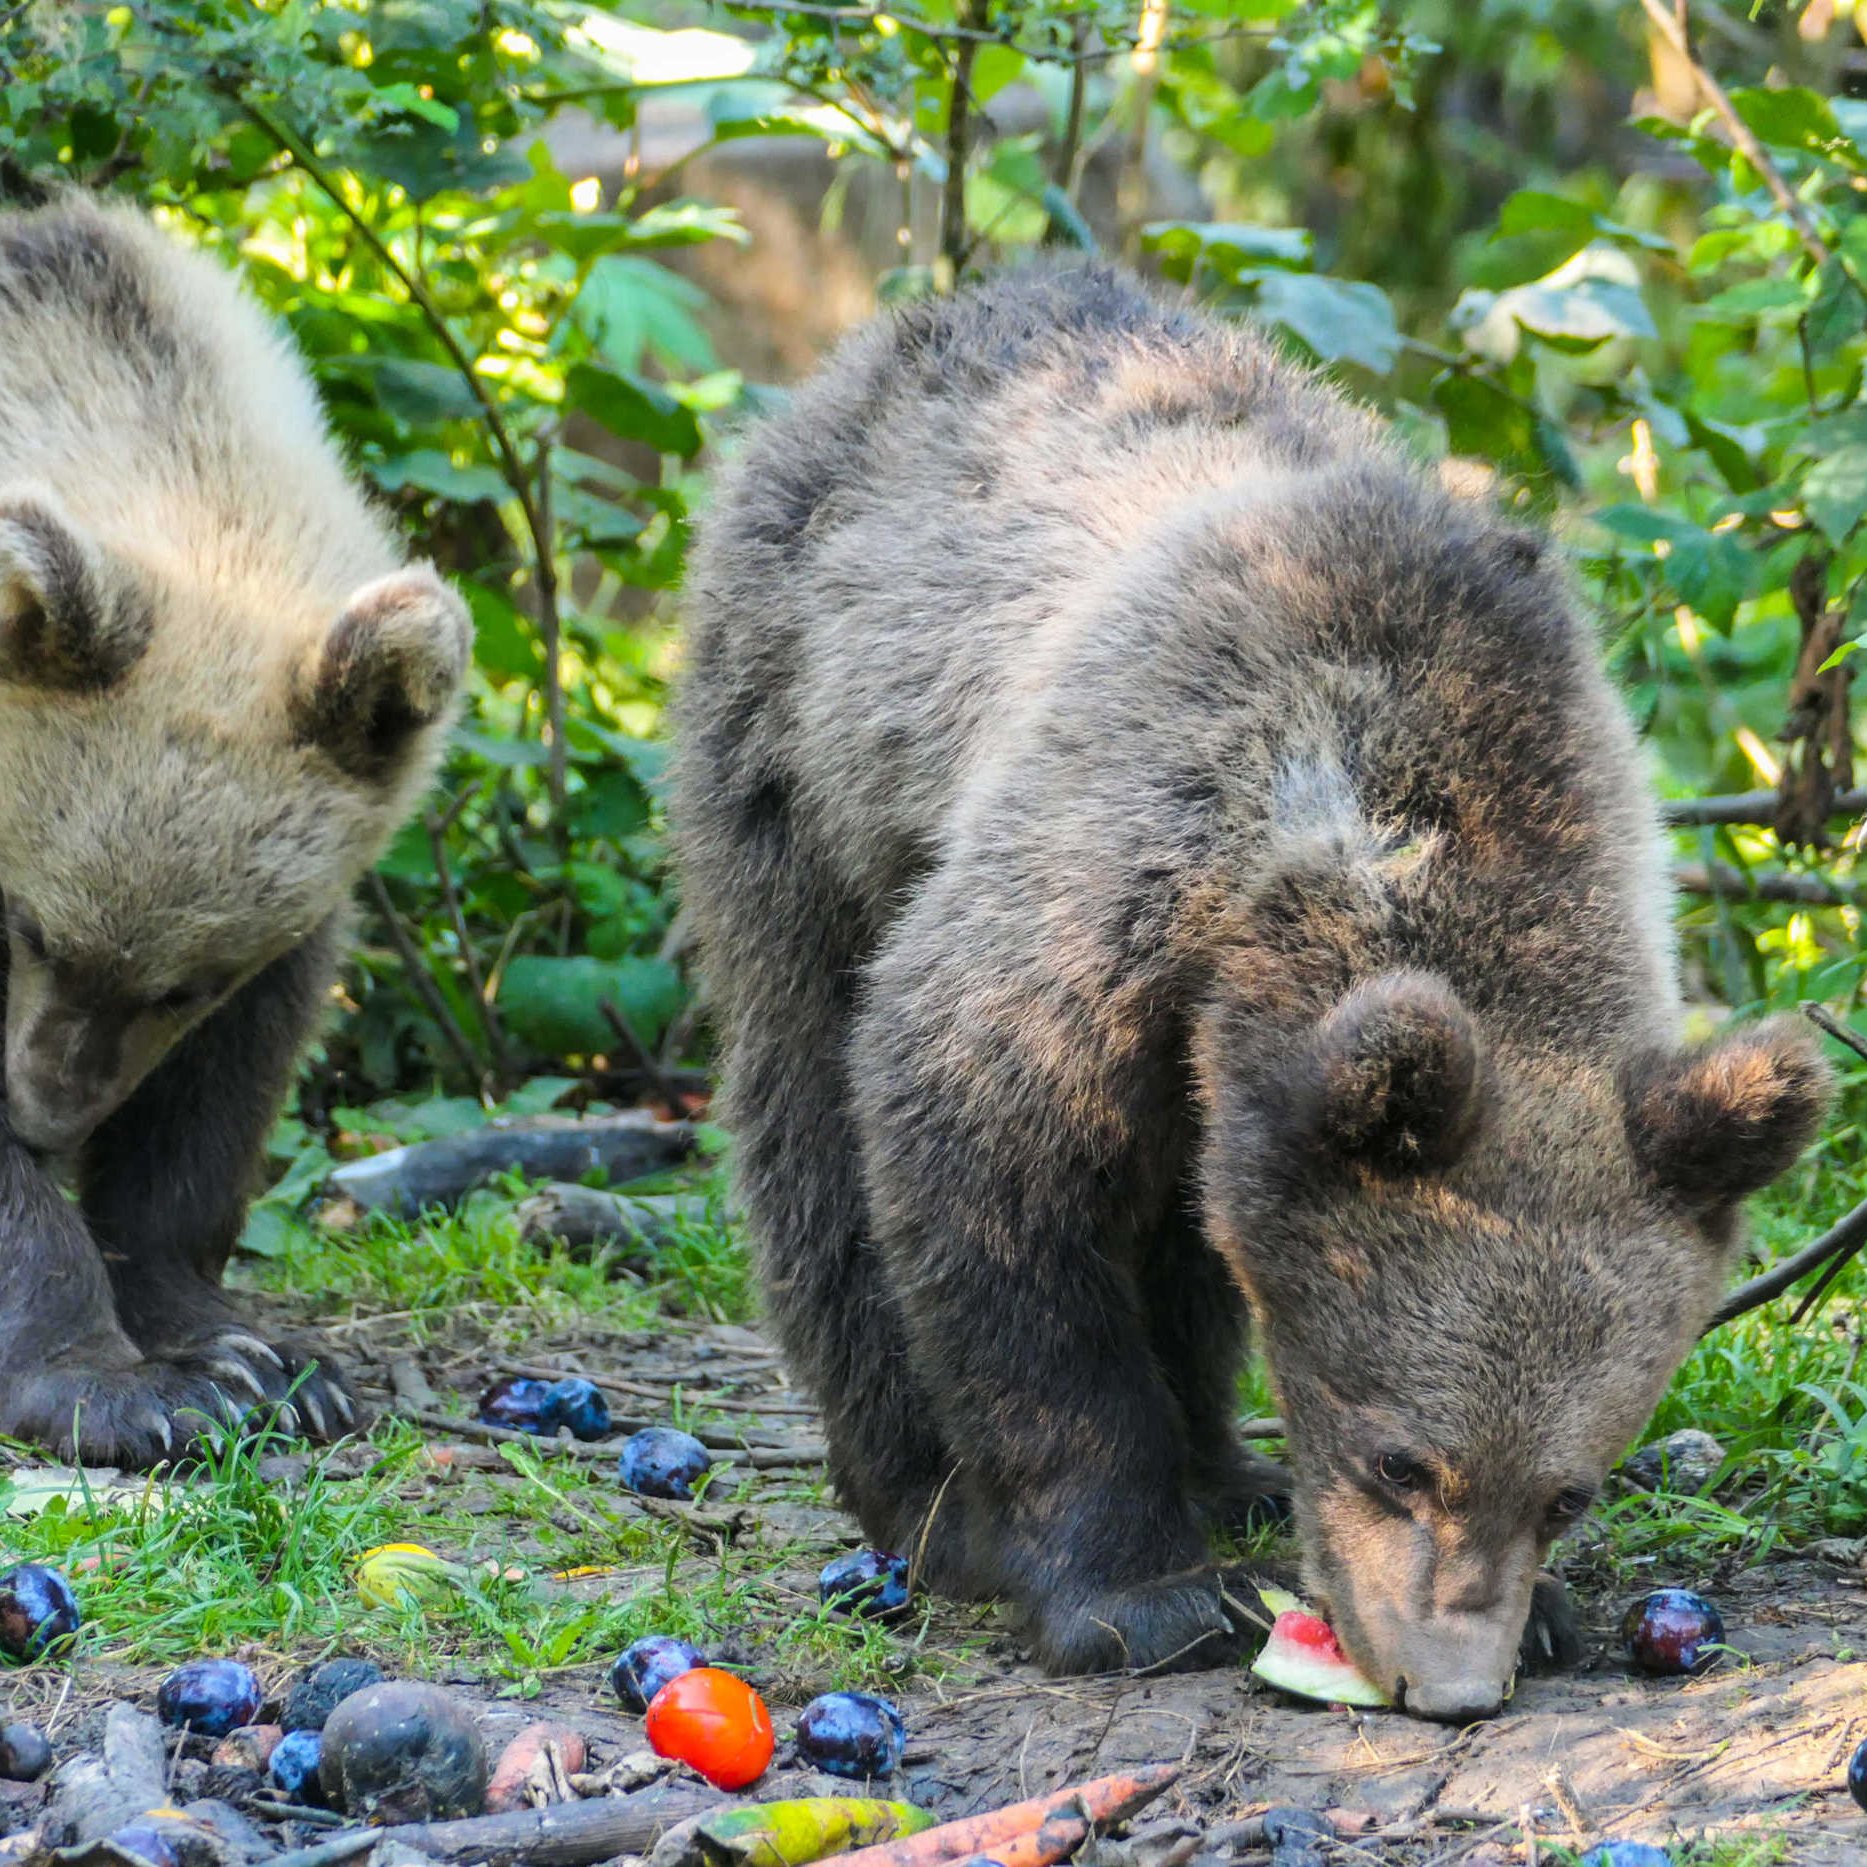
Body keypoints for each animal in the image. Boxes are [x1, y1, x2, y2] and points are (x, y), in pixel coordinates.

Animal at [0, 195, 471, 1463]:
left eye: (185, 984)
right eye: (30, 927)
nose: (44, 1109)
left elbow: (221, 1096)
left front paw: (249, 1353)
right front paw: (123, 1387)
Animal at [671, 264, 1831, 1722]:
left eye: (1565, 1489)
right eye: (1403, 1458)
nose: (1448, 1682)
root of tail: (925, 317)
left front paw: (1548, 1609)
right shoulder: (1101, 873)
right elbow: (987, 1178)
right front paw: (1133, 1589)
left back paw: (1231, 1469)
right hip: (800, 767)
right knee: (809, 1125)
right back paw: (922, 1499)